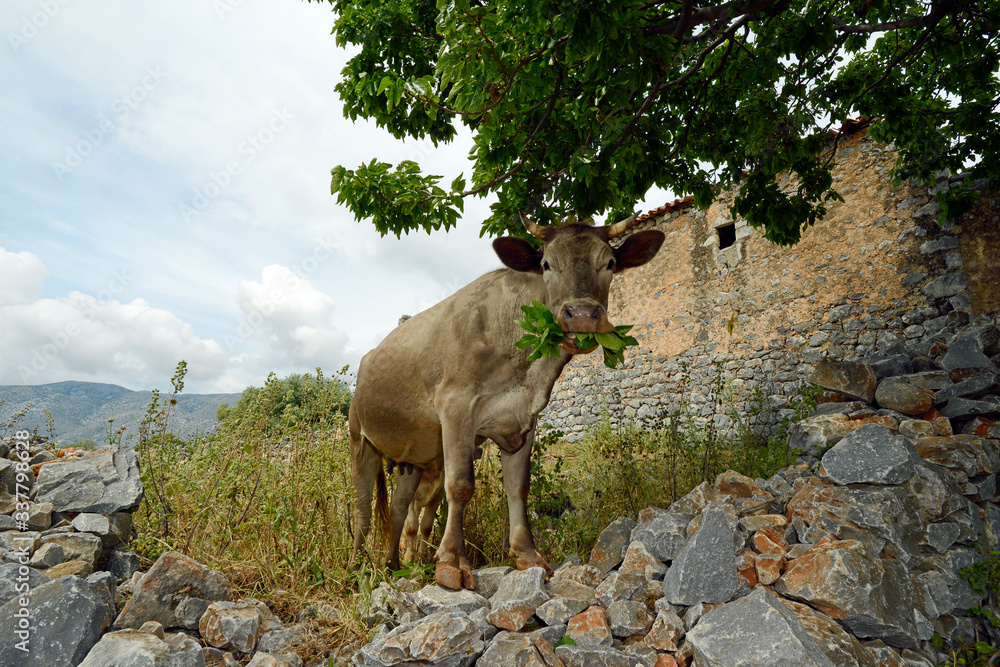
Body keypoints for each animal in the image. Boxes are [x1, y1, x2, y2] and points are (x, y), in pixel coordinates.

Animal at [349, 213, 664, 590]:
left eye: (610, 263)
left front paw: (527, 554)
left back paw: (394, 565)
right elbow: (460, 486)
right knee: (362, 507)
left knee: (399, 507)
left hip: (414, 456)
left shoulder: (522, 417)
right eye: (546, 264)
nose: (582, 314)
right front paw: (451, 562)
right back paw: (356, 566)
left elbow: (518, 486)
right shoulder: (456, 407)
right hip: (359, 436)